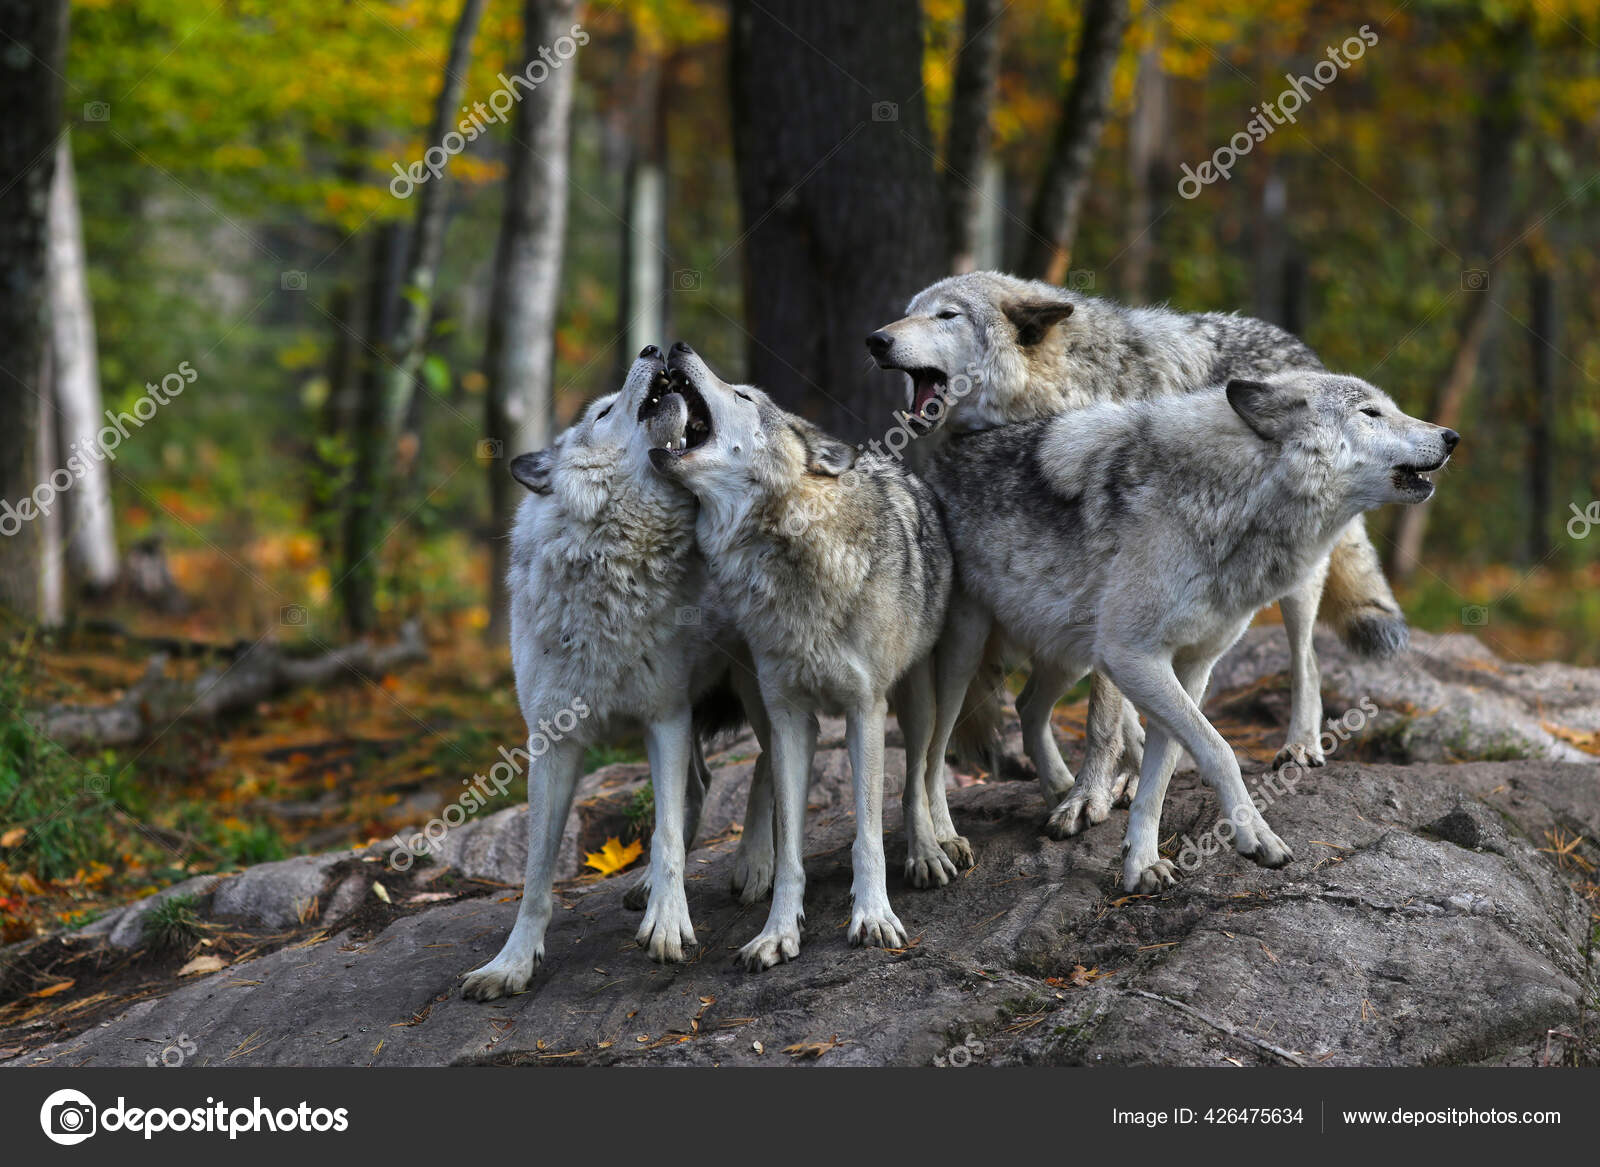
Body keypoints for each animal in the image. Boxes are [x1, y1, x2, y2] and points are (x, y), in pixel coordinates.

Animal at [461, 348, 771, 1000]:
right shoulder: (554, 745)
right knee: (702, 784)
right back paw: (647, 885)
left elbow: (668, 836)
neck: (614, 562)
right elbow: (536, 875)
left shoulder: (665, 718)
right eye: (603, 412)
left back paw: (754, 865)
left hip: (756, 687)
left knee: (765, 763)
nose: (655, 350)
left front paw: (670, 924)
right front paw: (512, 963)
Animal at [648, 342, 957, 969]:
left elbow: (868, 834)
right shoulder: (790, 715)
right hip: (759, 699)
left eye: (745, 396)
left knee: (919, 778)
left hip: (915, 697)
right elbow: (791, 845)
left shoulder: (865, 709)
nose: (678, 347)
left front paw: (872, 915)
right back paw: (754, 866)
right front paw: (777, 933)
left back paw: (928, 852)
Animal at [867, 270, 1409, 834]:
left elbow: (1103, 718)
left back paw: (1300, 744)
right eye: (910, 310)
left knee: (1307, 660)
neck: (1061, 387)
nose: (875, 340)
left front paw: (1092, 794)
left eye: (947, 315)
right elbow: (1126, 709)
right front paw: (1119, 778)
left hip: (1296, 584)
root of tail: (1296, 345)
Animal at [916, 369, 1456, 891]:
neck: (1232, 497)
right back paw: (940, 843)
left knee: (1028, 706)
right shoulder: (1135, 657)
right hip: (967, 655)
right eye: (1371, 412)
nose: (1451, 436)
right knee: (932, 752)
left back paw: (1062, 793)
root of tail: (925, 464)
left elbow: (1160, 775)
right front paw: (1255, 836)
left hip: (1072, 651)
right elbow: (1220, 749)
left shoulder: (1189, 667)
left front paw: (1140, 865)